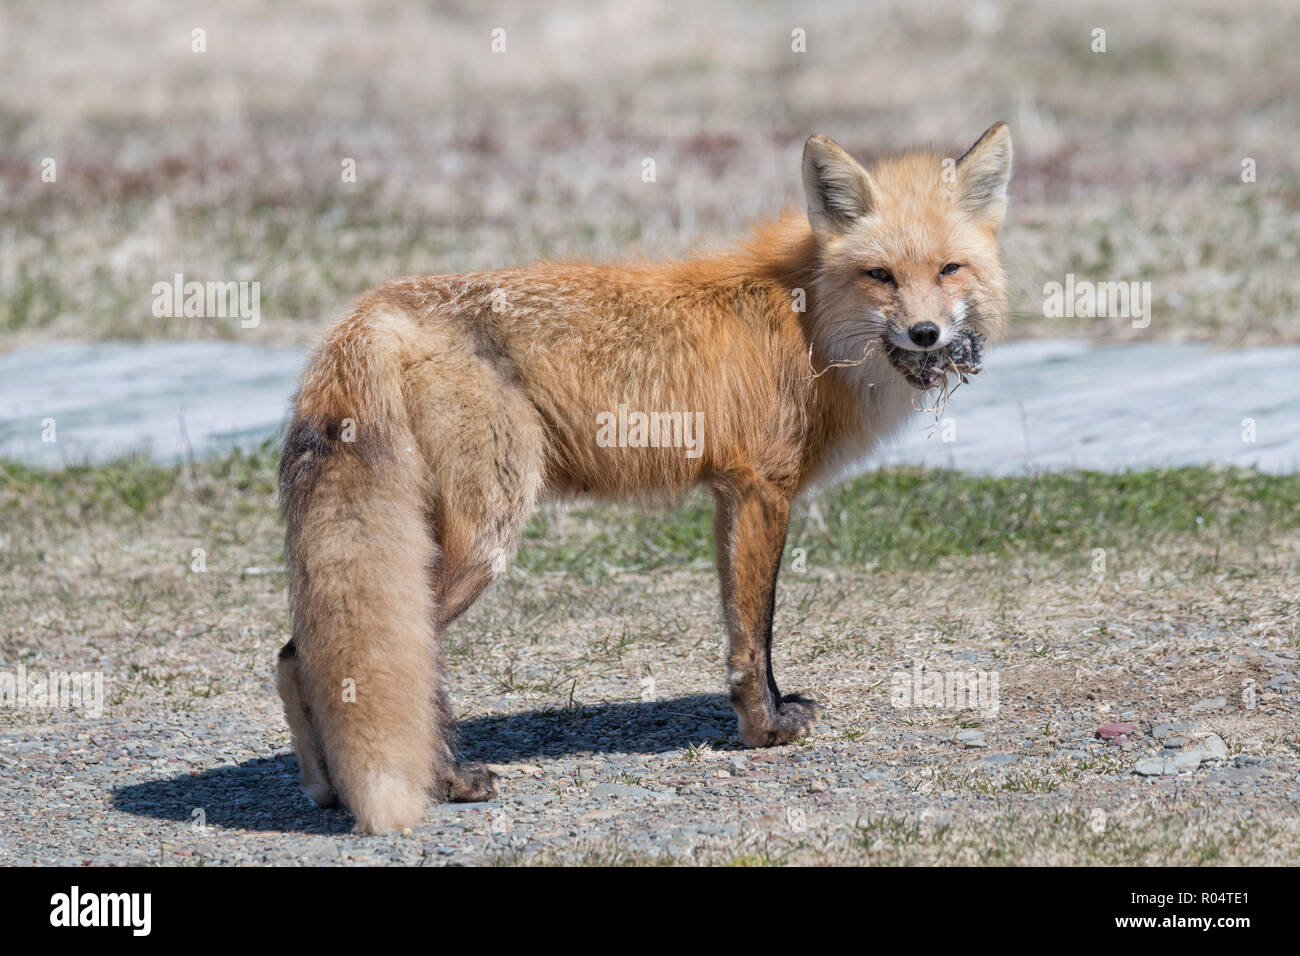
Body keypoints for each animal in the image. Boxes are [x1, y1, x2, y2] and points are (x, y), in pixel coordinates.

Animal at [276, 123, 1013, 832]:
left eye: (949, 268)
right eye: (880, 275)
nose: (925, 333)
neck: (805, 323)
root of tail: (368, 313)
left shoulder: (728, 495)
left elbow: (740, 627)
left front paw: (766, 713)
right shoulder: (763, 488)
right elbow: (759, 629)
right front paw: (766, 730)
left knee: (294, 658)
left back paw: (328, 790)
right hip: (484, 538)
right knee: (393, 655)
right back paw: (447, 781)